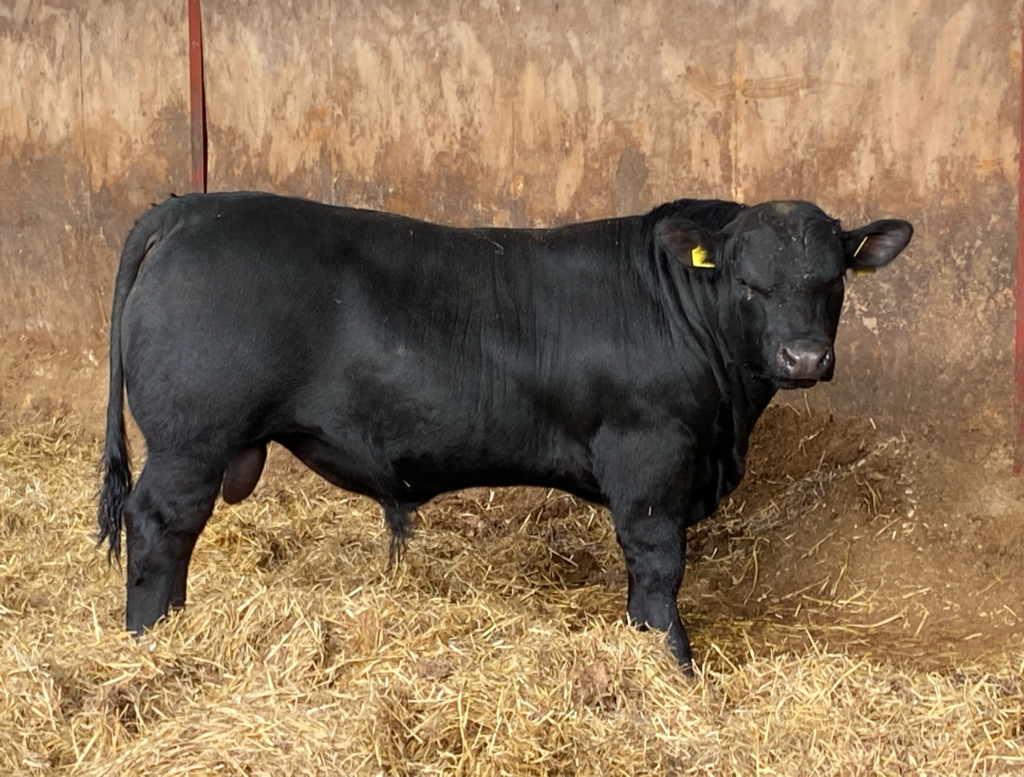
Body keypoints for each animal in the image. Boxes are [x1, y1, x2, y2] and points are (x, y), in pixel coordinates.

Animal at [97, 191, 912, 670]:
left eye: (832, 280)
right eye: (749, 282)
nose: (804, 358)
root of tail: (191, 207)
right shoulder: (649, 453)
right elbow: (657, 563)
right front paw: (671, 661)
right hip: (191, 439)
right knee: (160, 523)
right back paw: (153, 635)